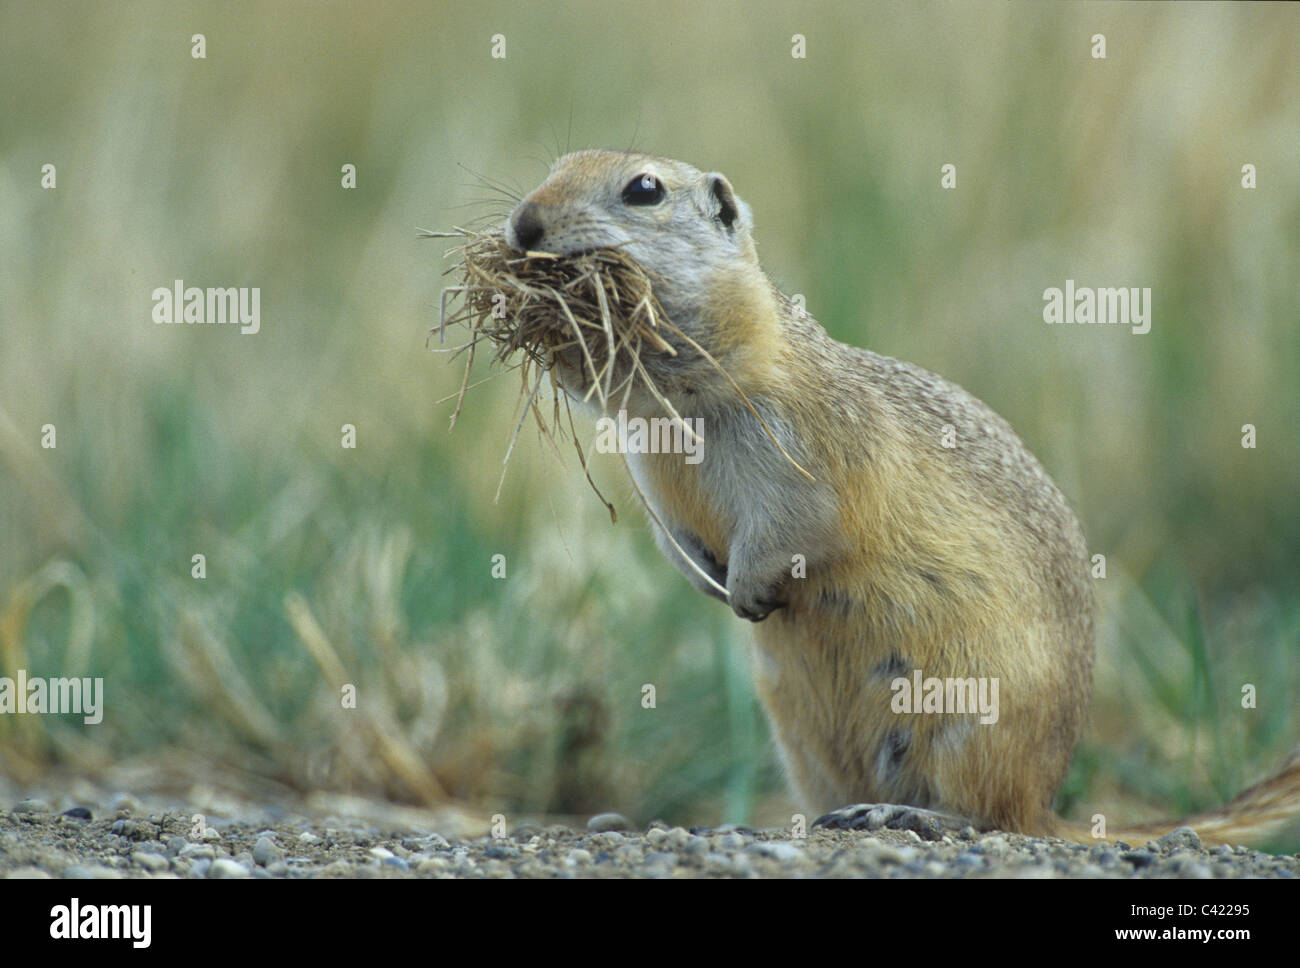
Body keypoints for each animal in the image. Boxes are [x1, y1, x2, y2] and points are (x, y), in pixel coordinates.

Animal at [497, 148, 1300, 846]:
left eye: (644, 189)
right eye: (555, 164)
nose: (524, 225)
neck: (683, 399)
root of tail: (1051, 801)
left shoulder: (810, 454)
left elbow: (796, 526)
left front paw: (748, 589)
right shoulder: (650, 473)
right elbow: (675, 540)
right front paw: (710, 584)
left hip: (965, 723)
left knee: (996, 818)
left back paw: (904, 815)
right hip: (800, 741)